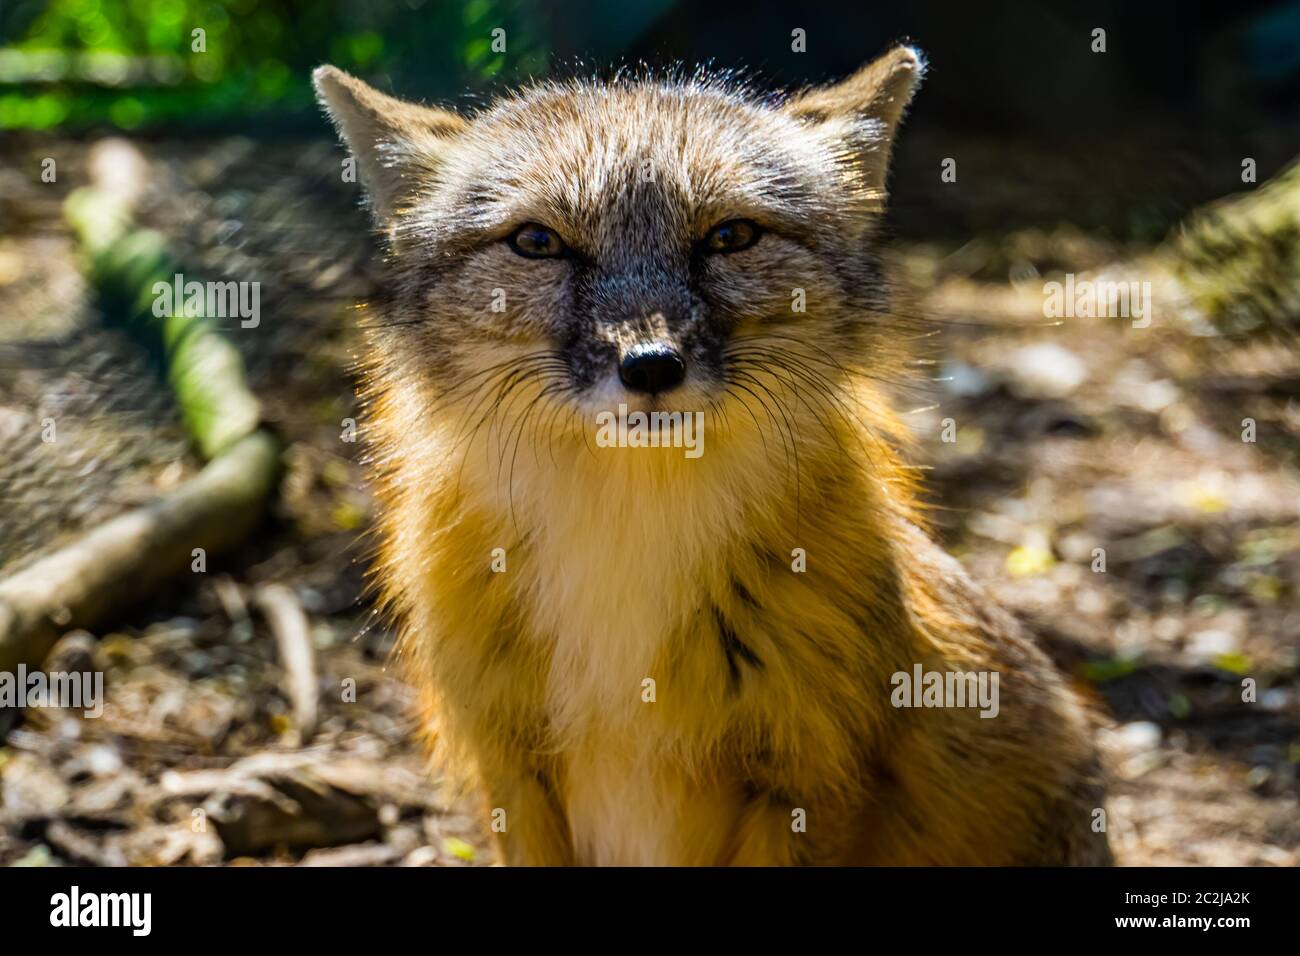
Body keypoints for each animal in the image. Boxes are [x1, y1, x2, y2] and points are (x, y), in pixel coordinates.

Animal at [313, 46, 1112, 866]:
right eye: (537, 242)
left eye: (730, 237)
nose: (651, 366)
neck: (626, 540)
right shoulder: (511, 773)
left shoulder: (810, 778)